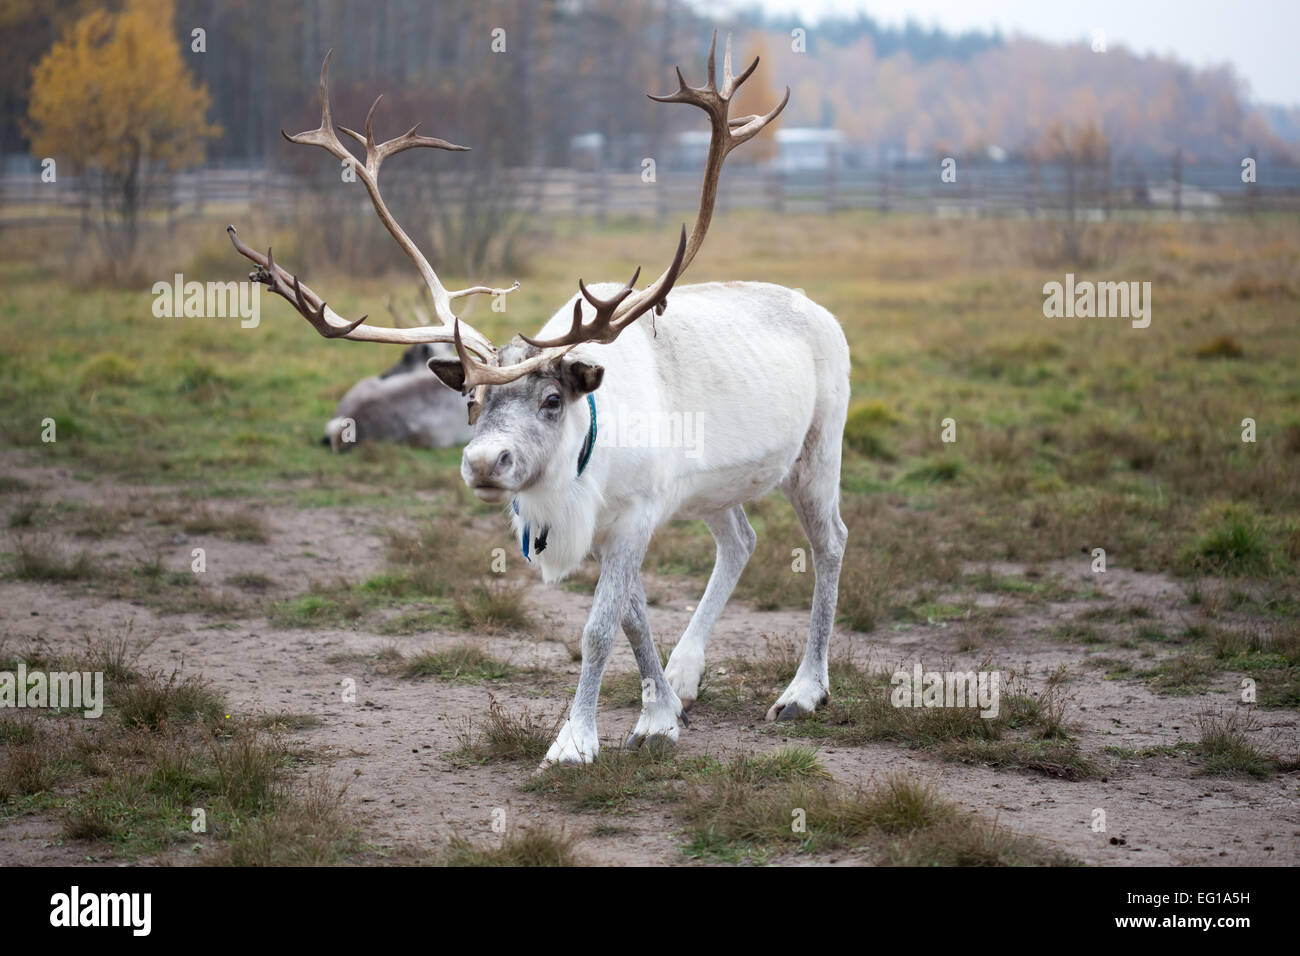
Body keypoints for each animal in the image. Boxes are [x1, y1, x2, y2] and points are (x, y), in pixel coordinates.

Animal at [228, 37, 850, 769]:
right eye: (469, 399)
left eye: (553, 397)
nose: (483, 463)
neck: (581, 465)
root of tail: (821, 311)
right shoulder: (611, 526)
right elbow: (632, 621)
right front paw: (662, 712)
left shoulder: (635, 516)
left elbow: (598, 631)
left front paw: (578, 740)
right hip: (714, 487)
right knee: (742, 542)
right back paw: (690, 675)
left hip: (819, 449)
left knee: (831, 544)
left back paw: (804, 691)